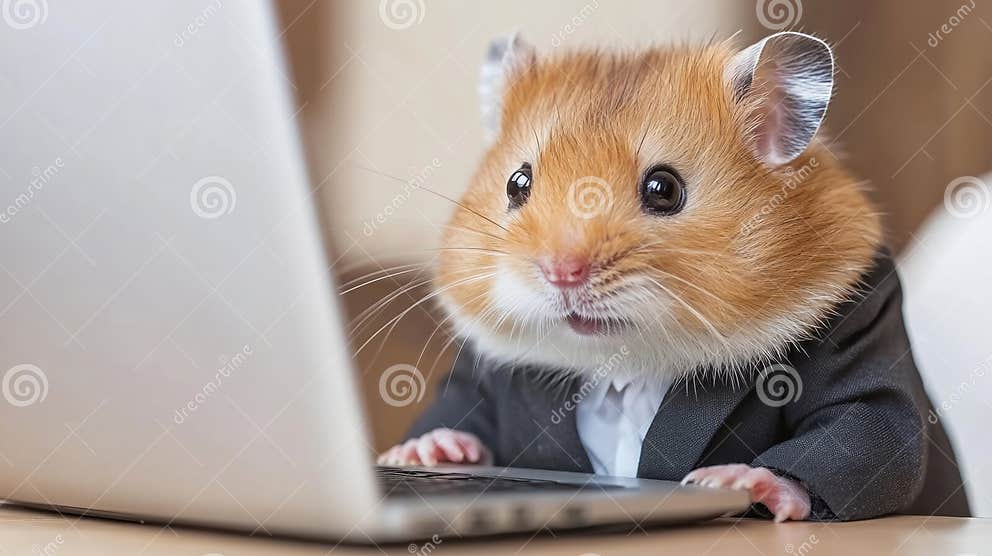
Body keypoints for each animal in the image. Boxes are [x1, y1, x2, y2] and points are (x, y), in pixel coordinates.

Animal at [378, 32, 969, 522]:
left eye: (664, 189)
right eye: (516, 184)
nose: (562, 273)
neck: (625, 362)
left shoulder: (860, 334)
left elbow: (867, 427)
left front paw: (733, 480)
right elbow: (461, 408)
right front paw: (429, 450)